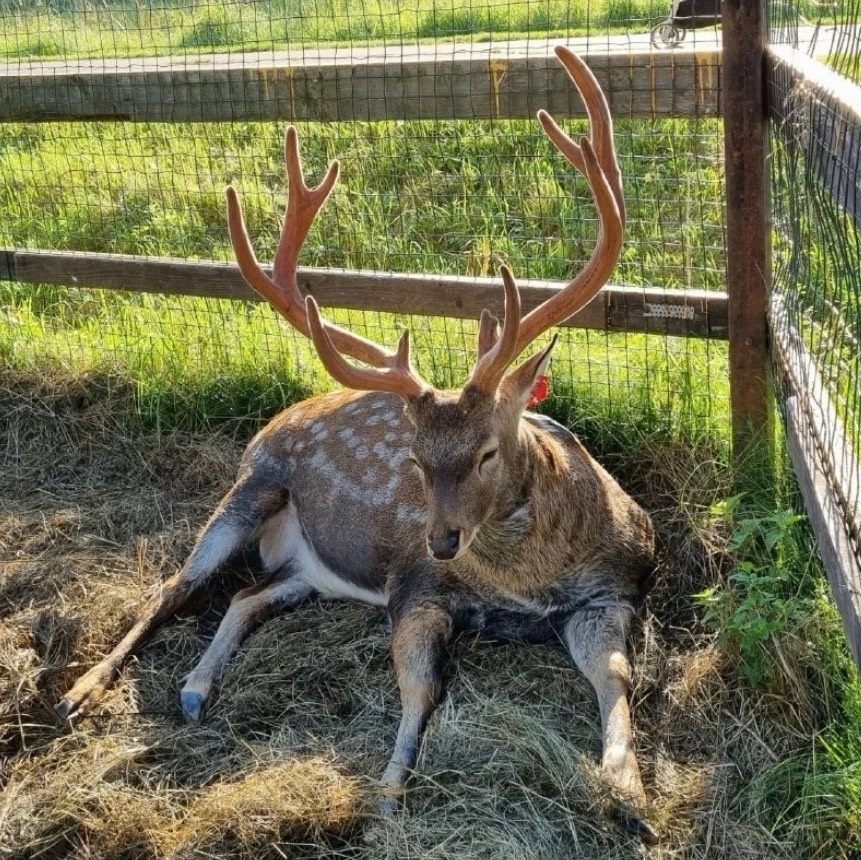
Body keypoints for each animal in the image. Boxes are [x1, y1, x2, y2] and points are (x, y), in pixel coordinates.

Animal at [57, 45, 656, 840]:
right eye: (413, 458)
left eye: (489, 450)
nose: (441, 539)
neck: (528, 584)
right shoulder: (413, 588)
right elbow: (421, 690)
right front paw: (387, 793)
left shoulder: (611, 593)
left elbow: (615, 679)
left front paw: (629, 791)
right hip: (251, 483)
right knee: (175, 586)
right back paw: (82, 689)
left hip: (308, 568)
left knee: (246, 594)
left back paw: (194, 688)